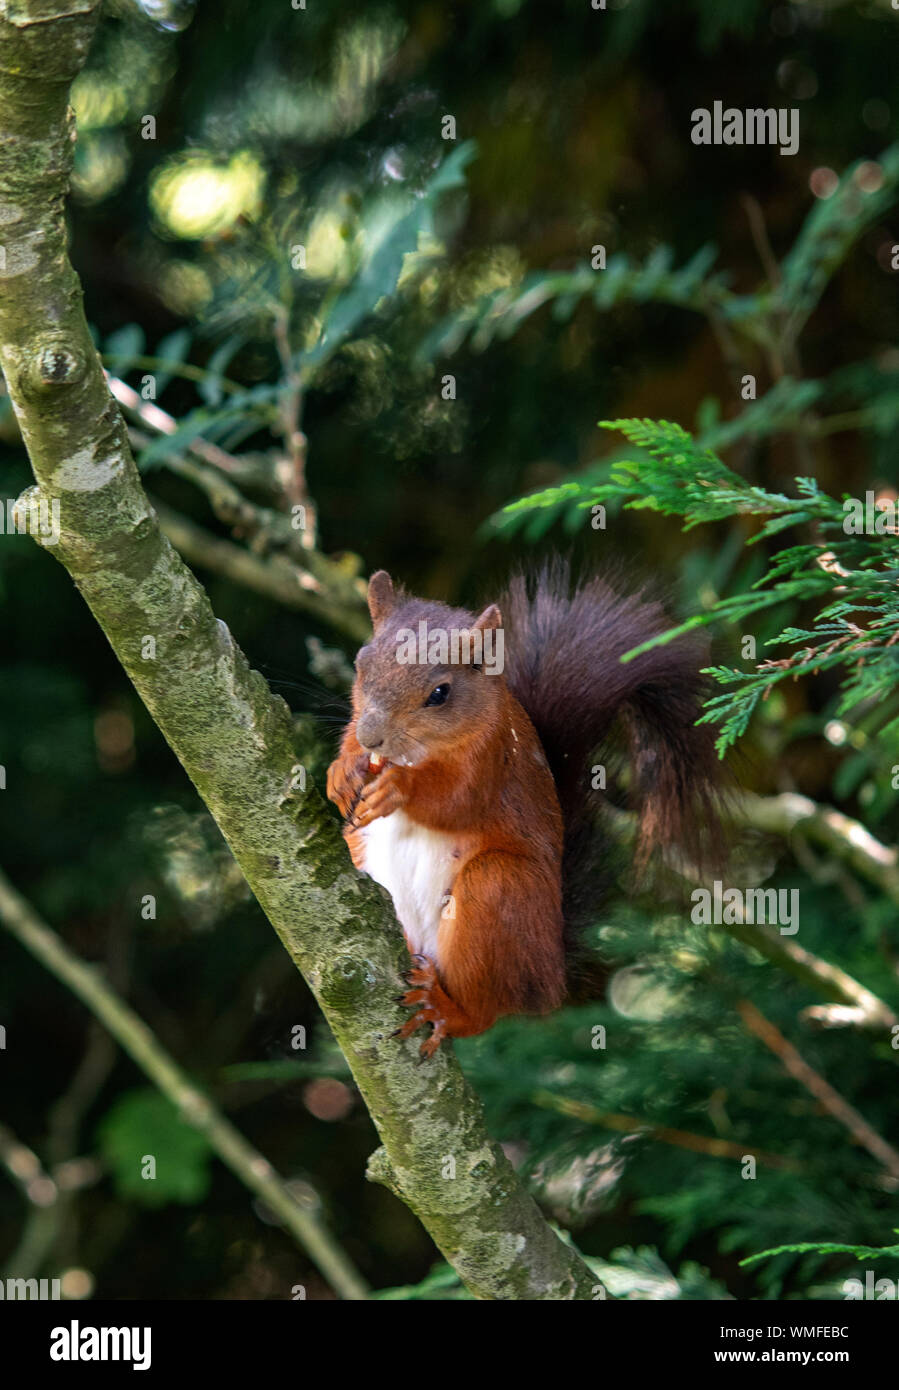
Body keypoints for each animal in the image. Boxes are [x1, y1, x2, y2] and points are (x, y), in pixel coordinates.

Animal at [326, 561, 725, 1058]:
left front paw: (398, 788)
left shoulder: (493, 760)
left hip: (501, 892)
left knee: (486, 1009)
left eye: (440, 693)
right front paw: (342, 771)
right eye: (361, 665)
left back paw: (447, 1009)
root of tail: (551, 972)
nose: (373, 737)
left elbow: (455, 801)